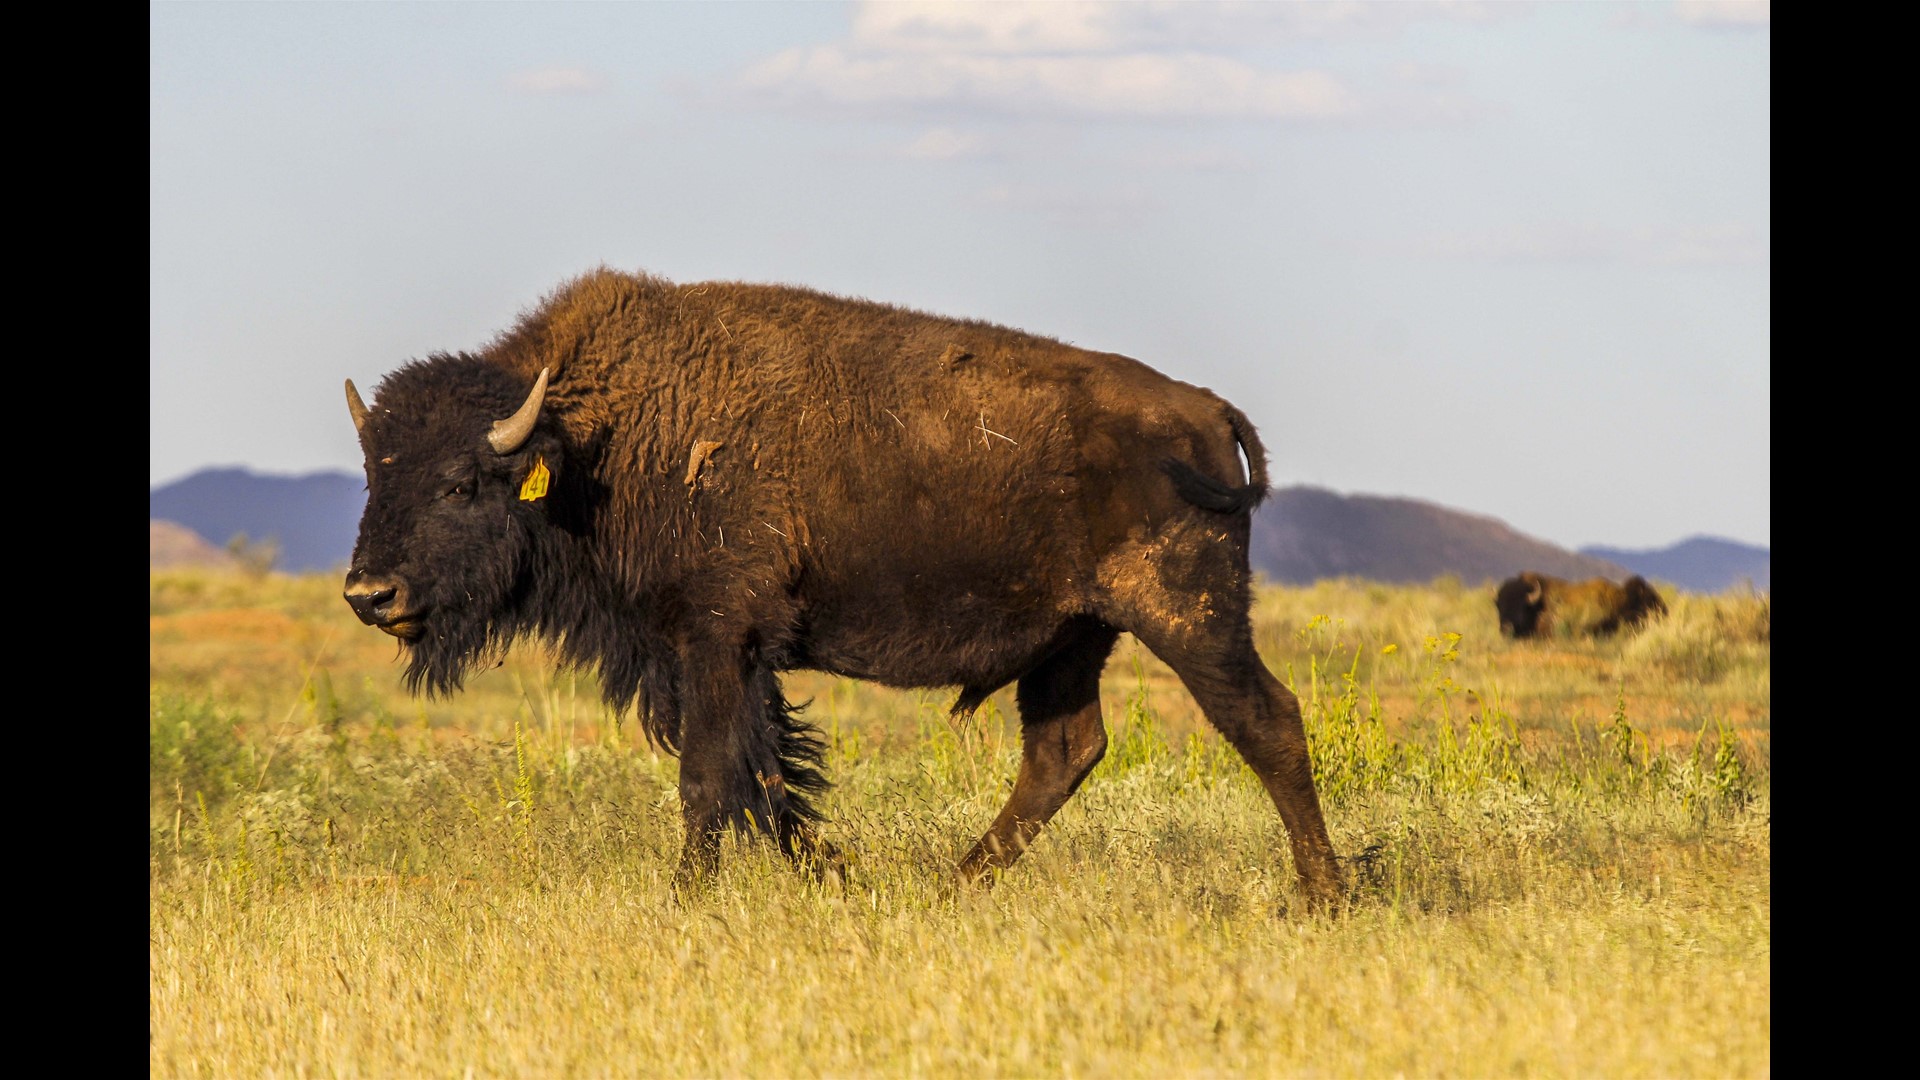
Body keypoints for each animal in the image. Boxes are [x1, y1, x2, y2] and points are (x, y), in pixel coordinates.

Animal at [342, 268, 1342, 907]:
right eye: (374, 475)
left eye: (461, 483)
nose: (369, 595)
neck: (599, 438)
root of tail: (1206, 408)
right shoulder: (720, 654)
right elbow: (767, 777)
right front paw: (840, 879)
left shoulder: (714, 635)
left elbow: (710, 777)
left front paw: (687, 902)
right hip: (1074, 637)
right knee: (1065, 749)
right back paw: (951, 889)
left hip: (1189, 615)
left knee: (1266, 721)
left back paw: (1322, 898)